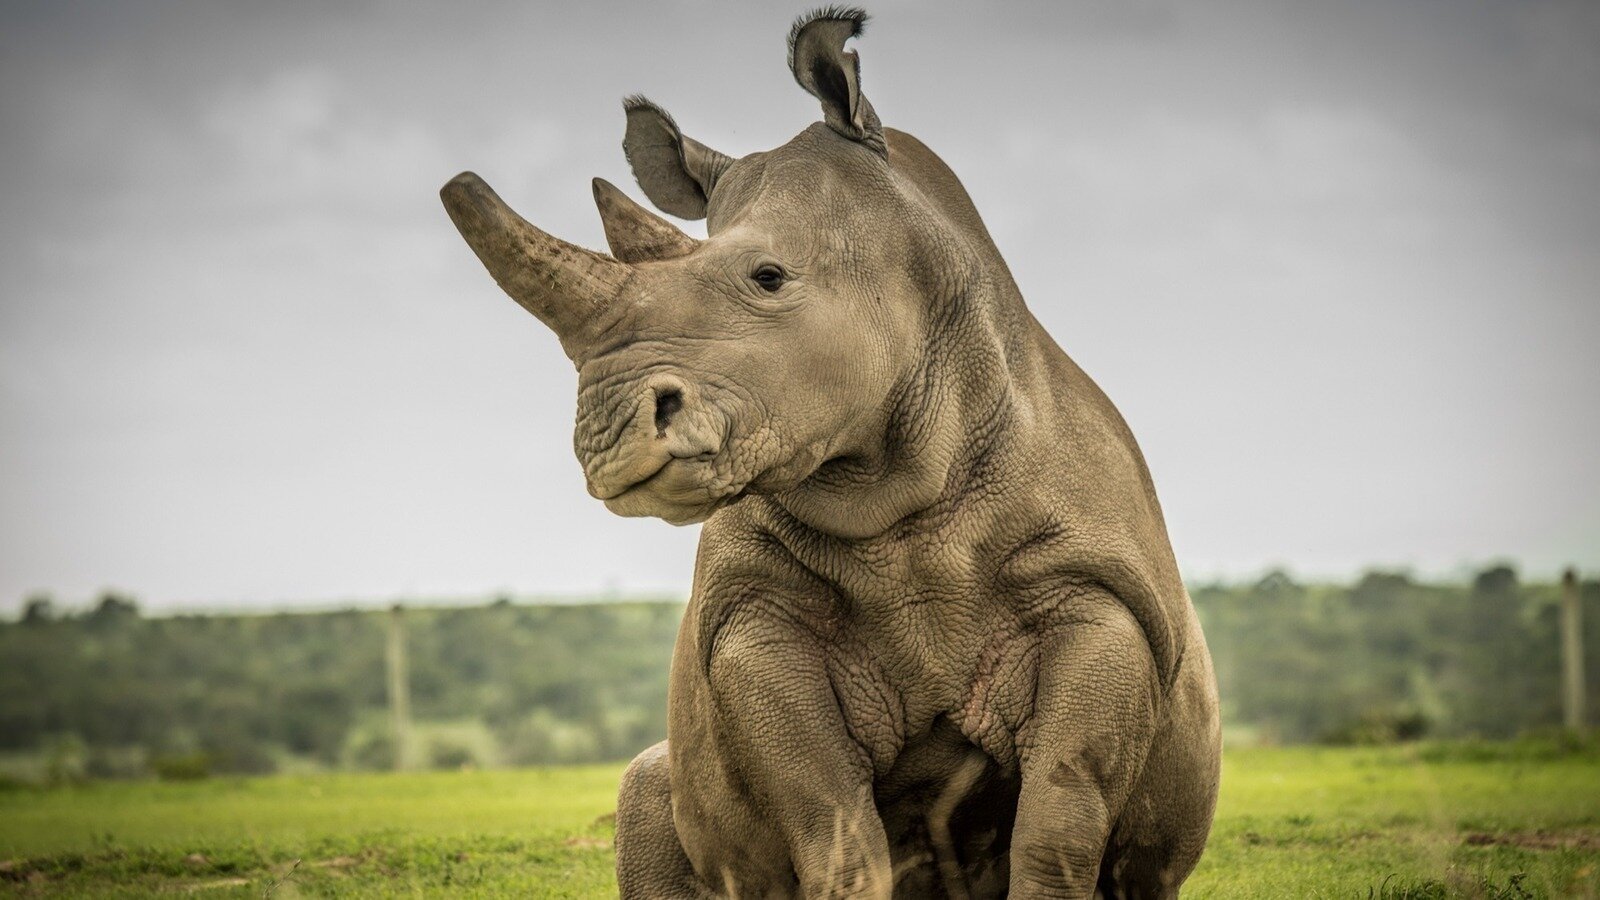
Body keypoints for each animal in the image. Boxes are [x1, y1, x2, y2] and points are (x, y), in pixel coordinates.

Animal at [440, 8, 1220, 898]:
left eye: (769, 277)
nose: (607, 433)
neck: (899, 475)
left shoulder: (1100, 598)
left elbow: (1058, 821)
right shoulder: (754, 618)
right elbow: (830, 822)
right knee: (647, 782)